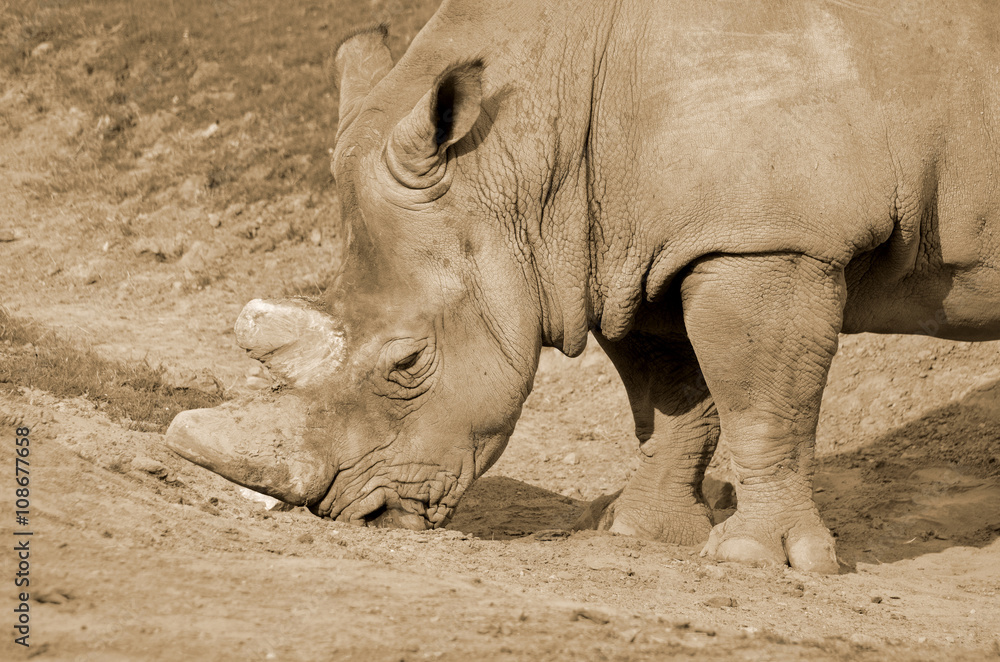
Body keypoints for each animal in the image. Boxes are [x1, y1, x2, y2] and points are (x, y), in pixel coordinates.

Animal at [166, 0, 1000, 573]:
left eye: (407, 364)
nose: (353, 516)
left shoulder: (769, 237)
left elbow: (762, 403)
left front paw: (753, 560)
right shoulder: (633, 246)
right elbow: (672, 398)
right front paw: (639, 533)